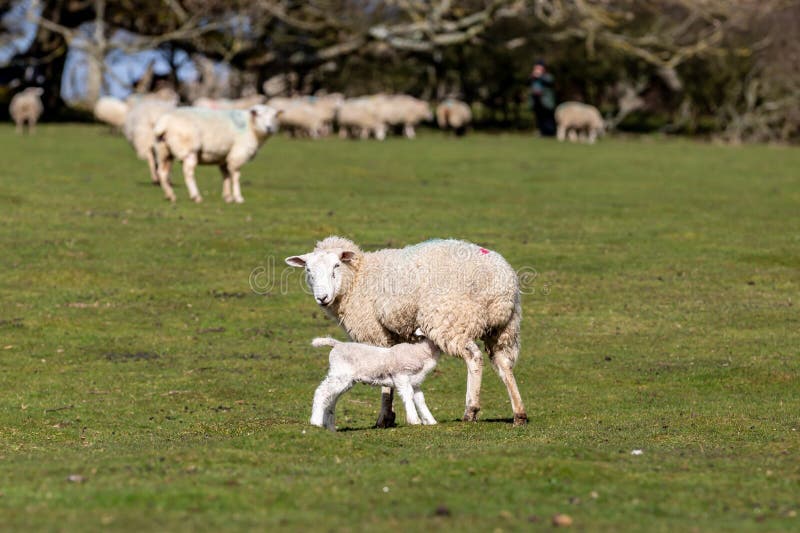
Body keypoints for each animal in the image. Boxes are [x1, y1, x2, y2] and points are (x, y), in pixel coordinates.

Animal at [151, 105, 281, 203]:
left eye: (274, 116)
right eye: (258, 114)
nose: (269, 128)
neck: (250, 126)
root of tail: (164, 122)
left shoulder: (224, 157)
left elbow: (226, 175)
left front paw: (228, 197)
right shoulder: (237, 154)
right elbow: (235, 176)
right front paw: (238, 198)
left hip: (163, 151)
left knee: (162, 172)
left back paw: (170, 196)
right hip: (189, 149)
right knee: (188, 173)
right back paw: (196, 196)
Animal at [310, 329, 441, 431]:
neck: (420, 352)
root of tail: (337, 344)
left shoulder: (415, 382)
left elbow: (420, 399)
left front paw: (430, 420)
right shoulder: (400, 375)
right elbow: (408, 394)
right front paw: (414, 419)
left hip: (343, 379)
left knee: (331, 398)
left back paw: (330, 427)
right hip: (340, 374)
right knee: (322, 392)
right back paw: (315, 422)